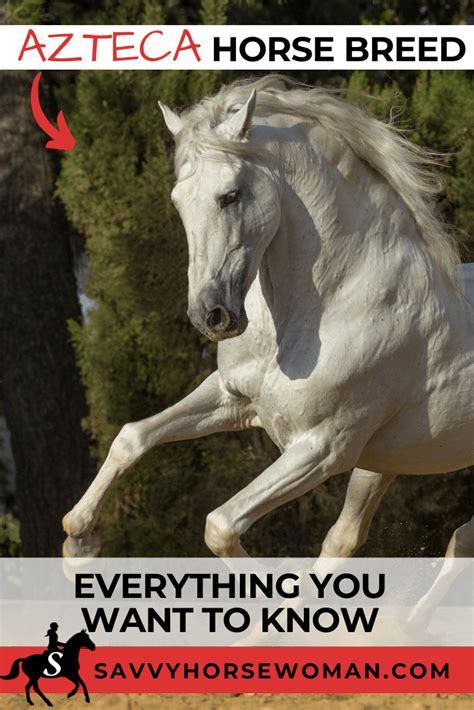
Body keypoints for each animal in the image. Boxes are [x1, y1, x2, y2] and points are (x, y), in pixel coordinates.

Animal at [62, 75, 473, 563]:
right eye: (178, 201)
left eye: (230, 195)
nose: (210, 316)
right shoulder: (233, 397)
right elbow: (131, 437)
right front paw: (79, 541)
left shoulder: (321, 449)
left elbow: (220, 526)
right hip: (382, 464)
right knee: (396, 537)